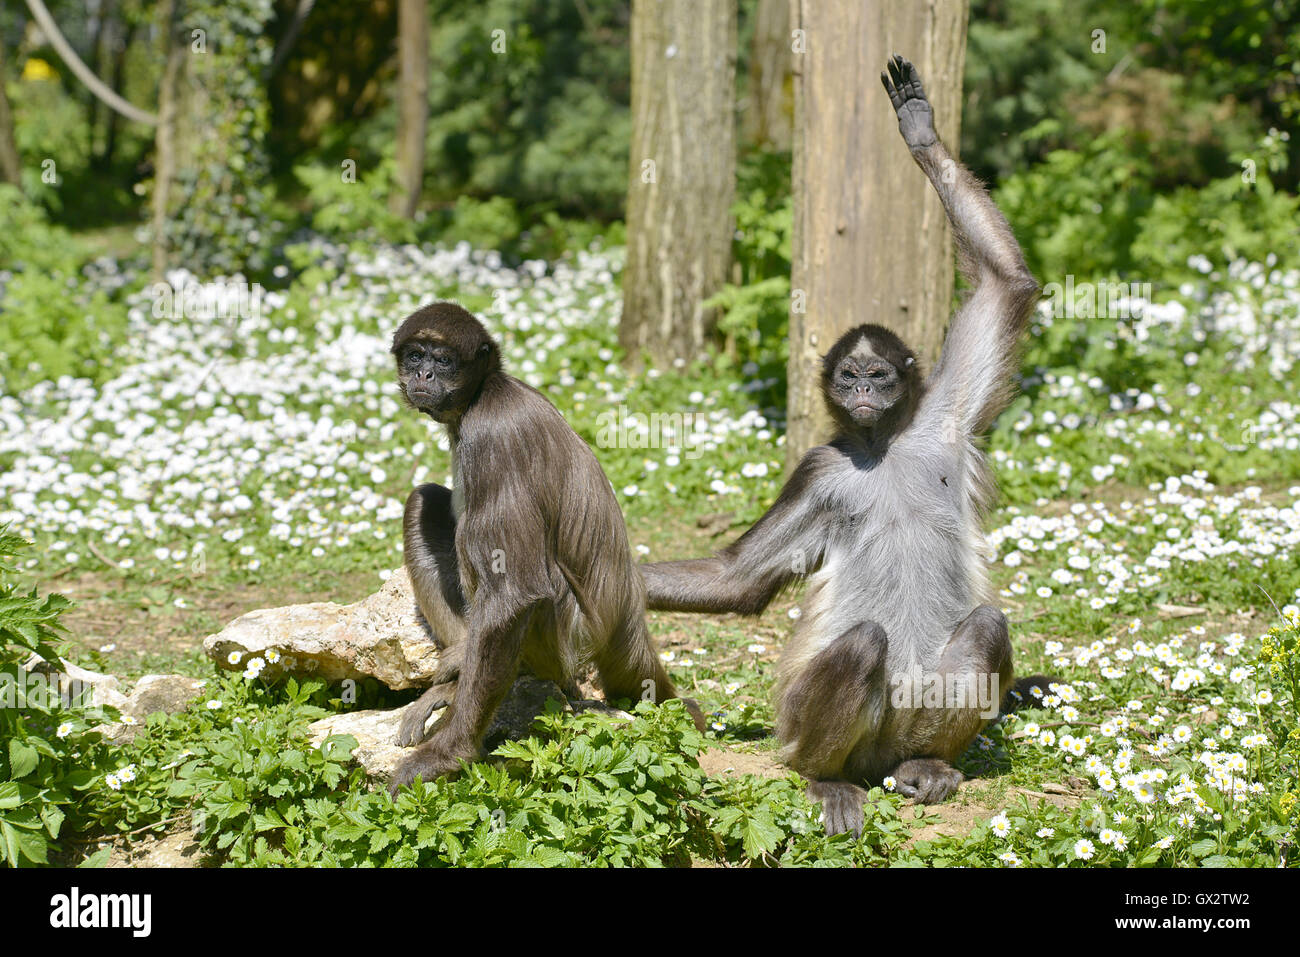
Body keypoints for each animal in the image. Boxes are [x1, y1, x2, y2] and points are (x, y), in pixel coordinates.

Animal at [388, 302, 703, 796]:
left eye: (444, 361)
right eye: (416, 356)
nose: (423, 375)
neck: (486, 392)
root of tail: (627, 615)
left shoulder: (493, 434)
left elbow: (517, 593)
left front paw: (447, 755)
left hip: (563, 636)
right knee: (424, 500)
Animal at [639, 56, 1046, 837]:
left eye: (879, 376)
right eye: (849, 377)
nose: (861, 393)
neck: (881, 446)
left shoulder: (940, 418)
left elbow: (1008, 284)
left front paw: (920, 131)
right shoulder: (821, 468)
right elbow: (736, 579)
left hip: (917, 709)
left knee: (984, 625)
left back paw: (927, 765)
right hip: (802, 721)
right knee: (861, 643)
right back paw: (824, 777)